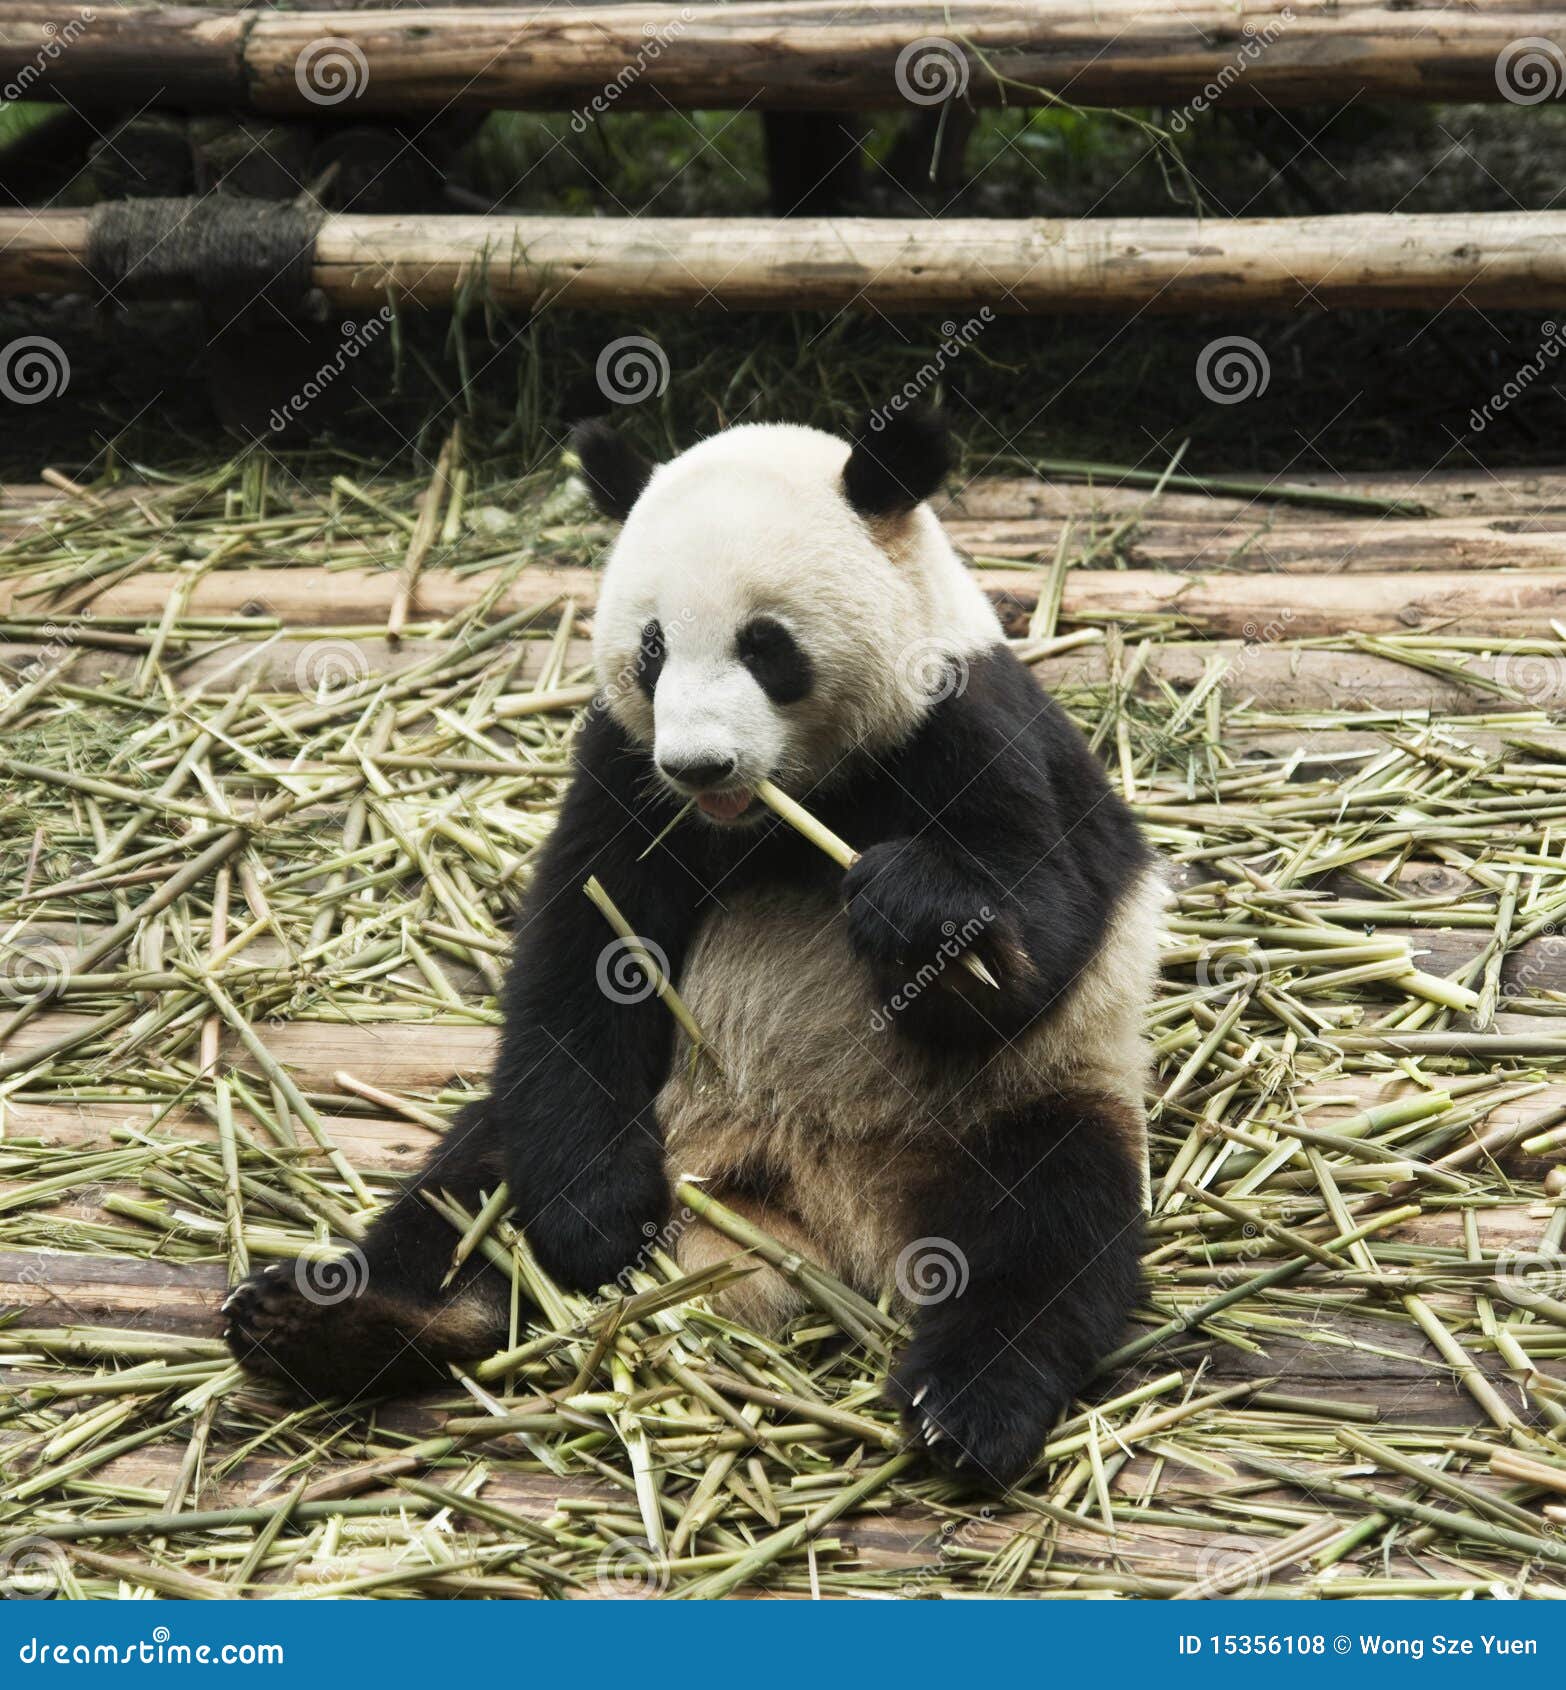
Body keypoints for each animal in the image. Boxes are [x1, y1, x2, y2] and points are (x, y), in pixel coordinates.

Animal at [224, 407, 1163, 1488]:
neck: (779, 804)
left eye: (767, 646)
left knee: (1047, 1230)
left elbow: (1041, 929)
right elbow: (581, 955)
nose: (701, 764)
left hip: (1015, 1105)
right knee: (473, 1185)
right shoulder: (625, 775)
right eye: (652, 649)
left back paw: (968, 1408)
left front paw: (912, 906)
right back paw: (324, 1321)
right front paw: (593, 1227)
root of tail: (817, 1206)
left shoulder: (971, 729)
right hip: (650, 1111)